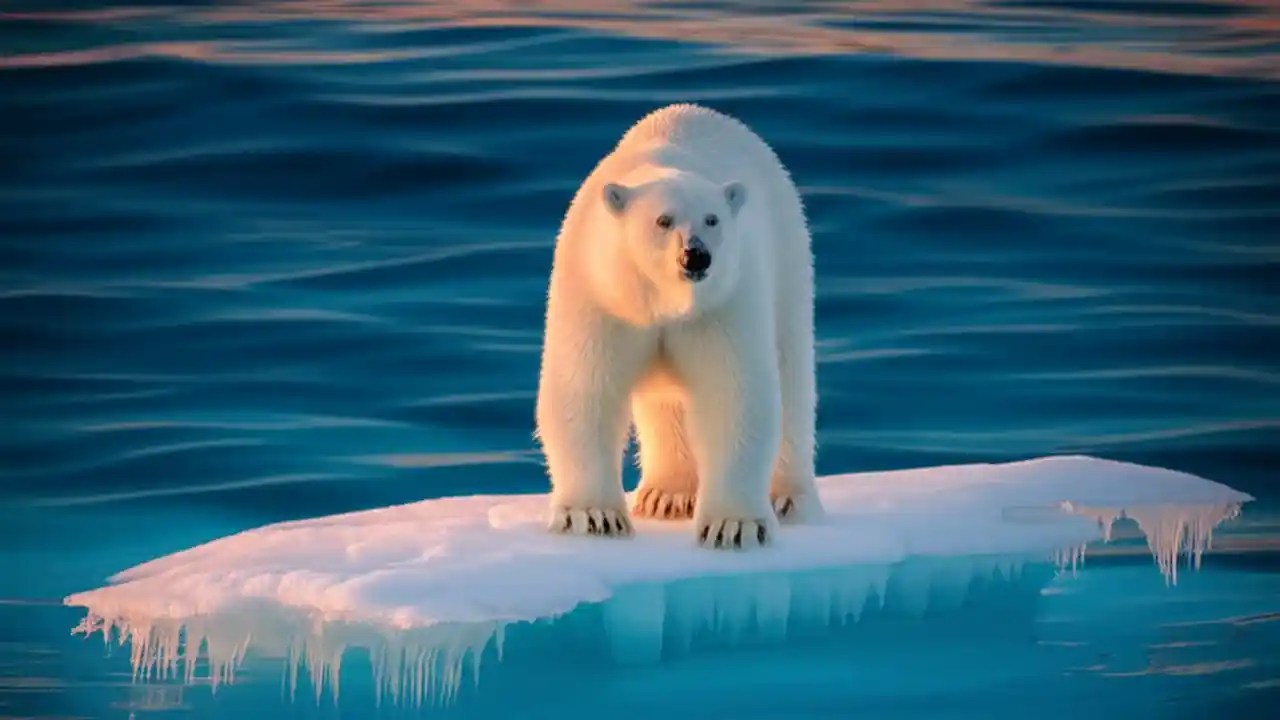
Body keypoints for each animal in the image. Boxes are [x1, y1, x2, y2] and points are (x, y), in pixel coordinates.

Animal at [535, 103, 823, 549]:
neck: (664, 303)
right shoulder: (601, 295)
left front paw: (734, 525)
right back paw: (667, 495)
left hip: (788, 256)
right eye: (663, 220)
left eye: (712, 220)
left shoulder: (723, 302)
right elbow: (585, 388)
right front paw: (594, 515)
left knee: (791, 376)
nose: (696, 256)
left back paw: (788, 499)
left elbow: (733, 392)